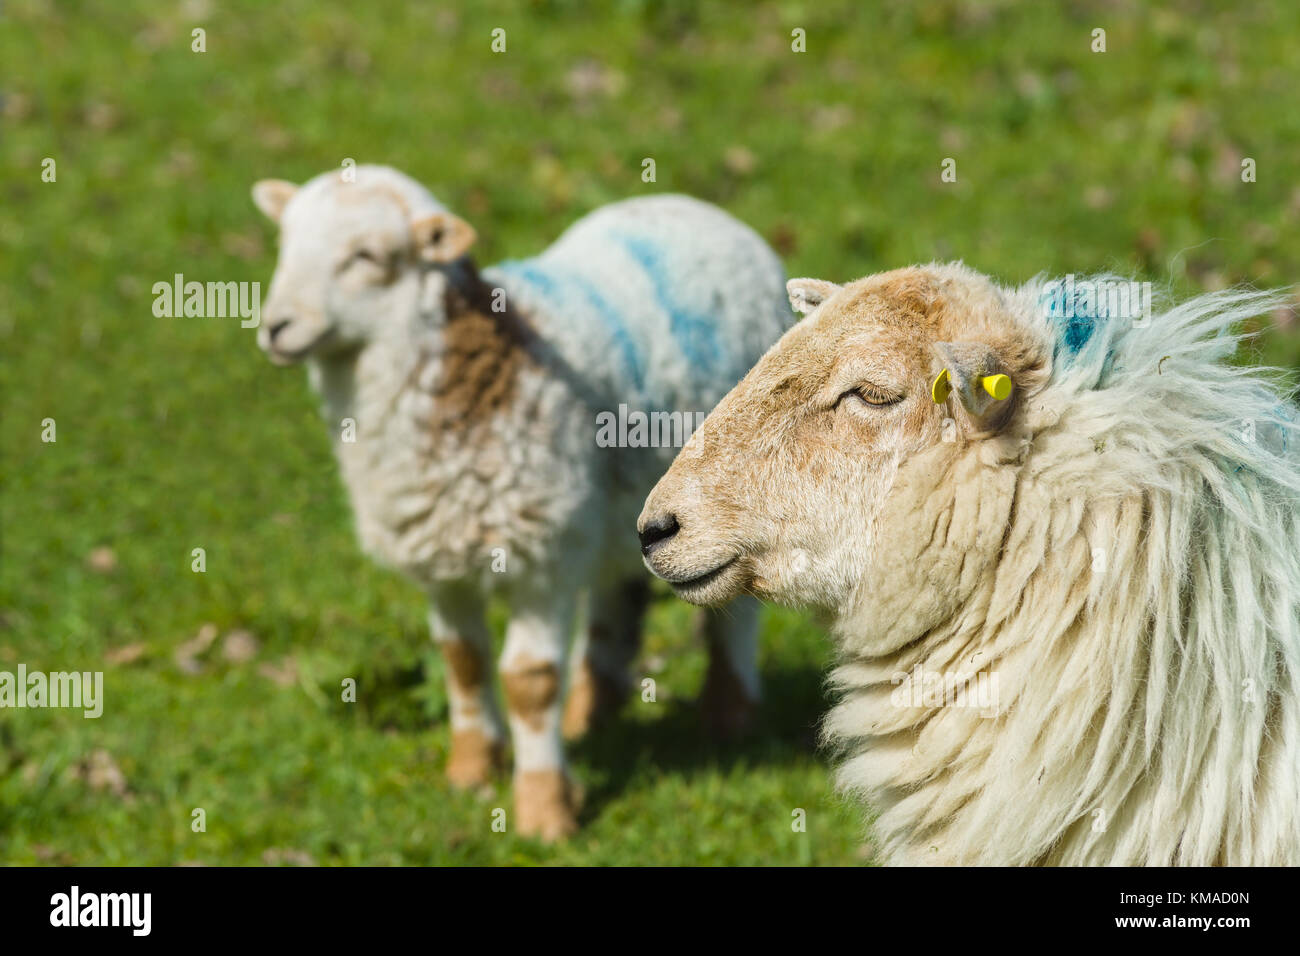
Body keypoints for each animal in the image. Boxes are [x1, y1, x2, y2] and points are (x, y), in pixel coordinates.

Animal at [250, 164, 792, 840]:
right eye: (284, 242)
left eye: (367, 257)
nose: (275, 327)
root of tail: (704, 211)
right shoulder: (444, 561)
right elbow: (463, 661)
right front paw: (470, 772)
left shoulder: (541, 559)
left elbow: (529, 681)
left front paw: (542, 810)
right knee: (616, 591)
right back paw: (592, 709)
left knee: (735, 610)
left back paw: (730, 717)